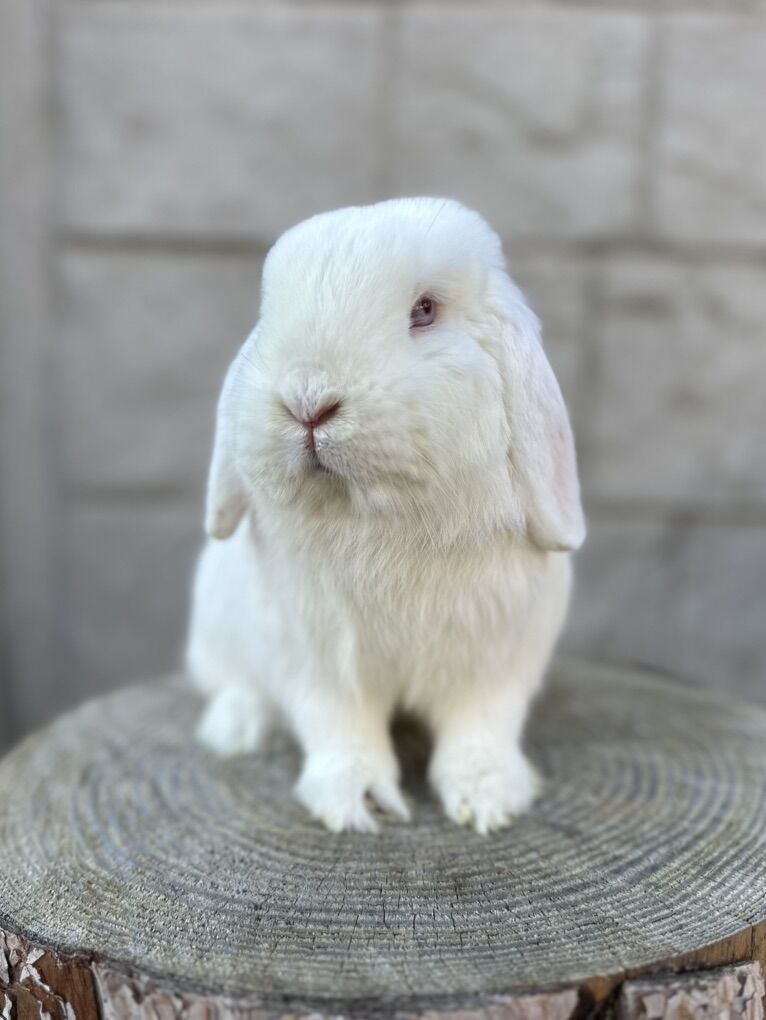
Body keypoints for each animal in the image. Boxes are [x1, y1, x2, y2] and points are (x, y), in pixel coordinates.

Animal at [186, 197, 585, 835]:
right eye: (268, 315)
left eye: (424, 311)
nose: (308, 401)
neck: (376, 521)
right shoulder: (318, 662)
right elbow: (340, 731)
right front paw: (360, 804)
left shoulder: (494, 662)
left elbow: (480, 730)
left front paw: (488, 801)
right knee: (230, 684)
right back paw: (236, 730)